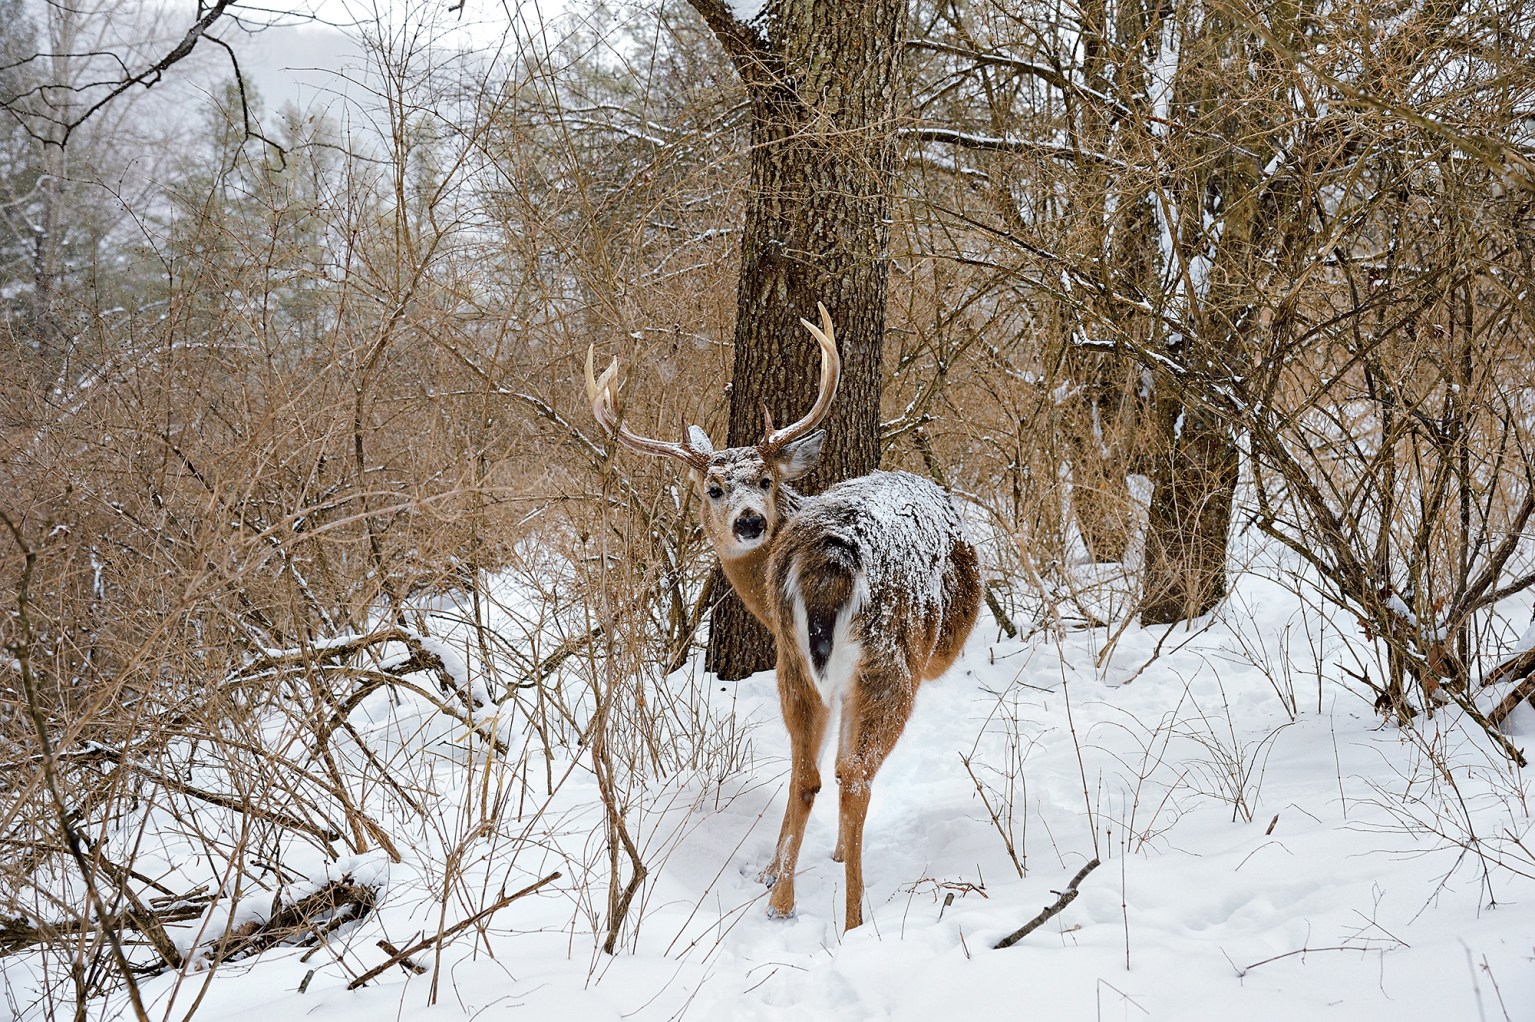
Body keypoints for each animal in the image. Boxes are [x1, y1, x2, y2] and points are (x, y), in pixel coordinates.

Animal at [585, 304, 981, 930]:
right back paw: (851, 918)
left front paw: (776, 871)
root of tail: (834, 556)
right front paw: (820, 861)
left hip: (804, 661)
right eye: (714, 487)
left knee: (813, 773)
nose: (749, 520)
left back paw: (784, 900)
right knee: (851, 774)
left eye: (766, 480)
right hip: (890, 660)